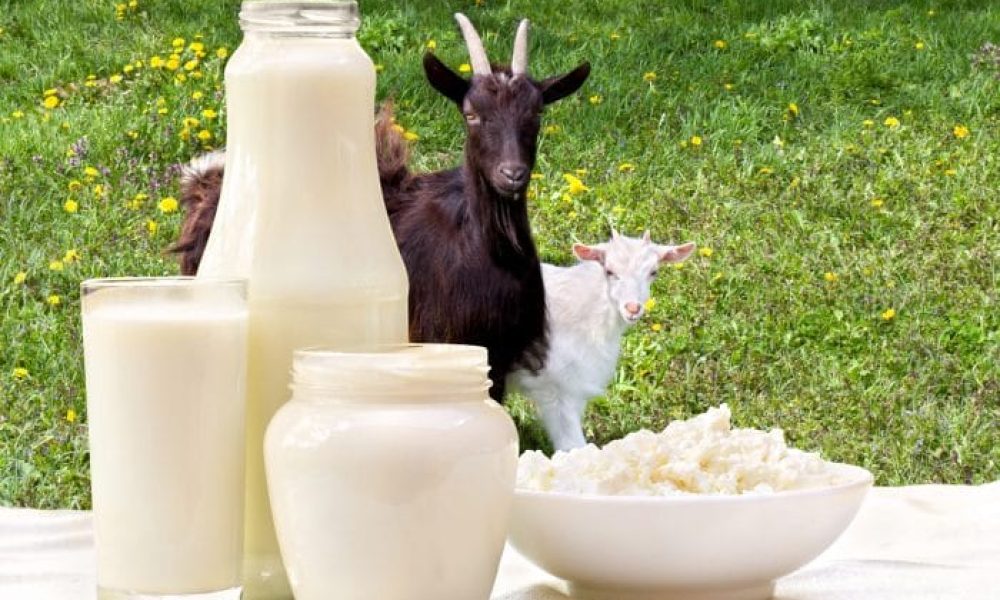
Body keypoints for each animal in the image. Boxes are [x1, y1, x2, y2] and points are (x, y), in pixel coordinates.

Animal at [172, 14, 591, 402]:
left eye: (536, 113)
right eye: (471, 113)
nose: (512, 174)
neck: (488, 249)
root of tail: (205, 183)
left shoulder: (498, 353)